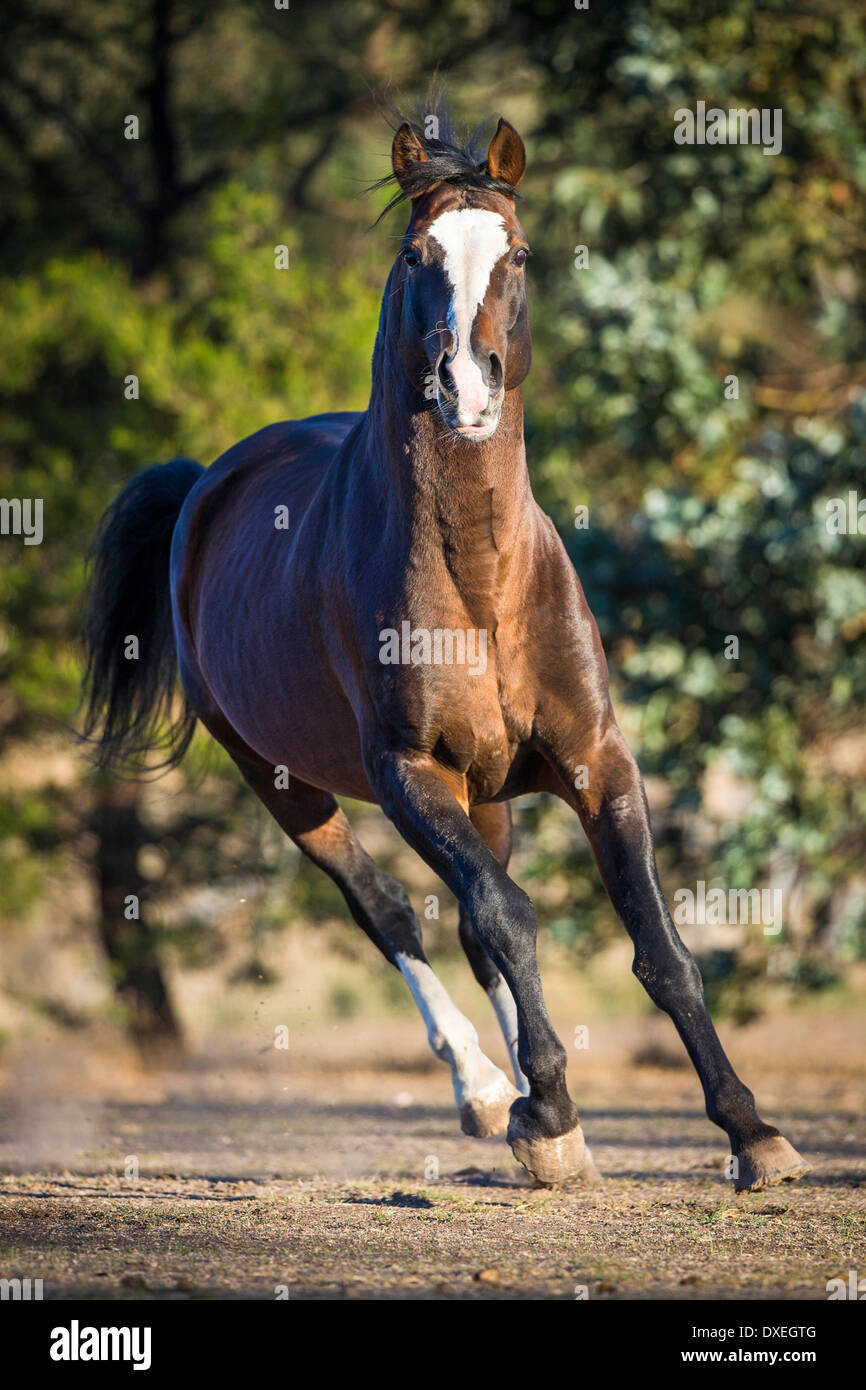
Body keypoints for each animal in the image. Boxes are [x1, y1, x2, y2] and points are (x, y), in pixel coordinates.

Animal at [82, 109, 809, 1191]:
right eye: (414, 254)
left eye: (519, 254)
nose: (466, 389)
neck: (481, 580)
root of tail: (208, 481)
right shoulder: (407, 773)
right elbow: (504, 916)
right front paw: (544, 1115)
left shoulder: (595, 762)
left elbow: (656, 944)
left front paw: (750, 1133)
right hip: (282, 778)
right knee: (395, 912)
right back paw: (486, 1091)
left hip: (483, 794)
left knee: (473, 919)